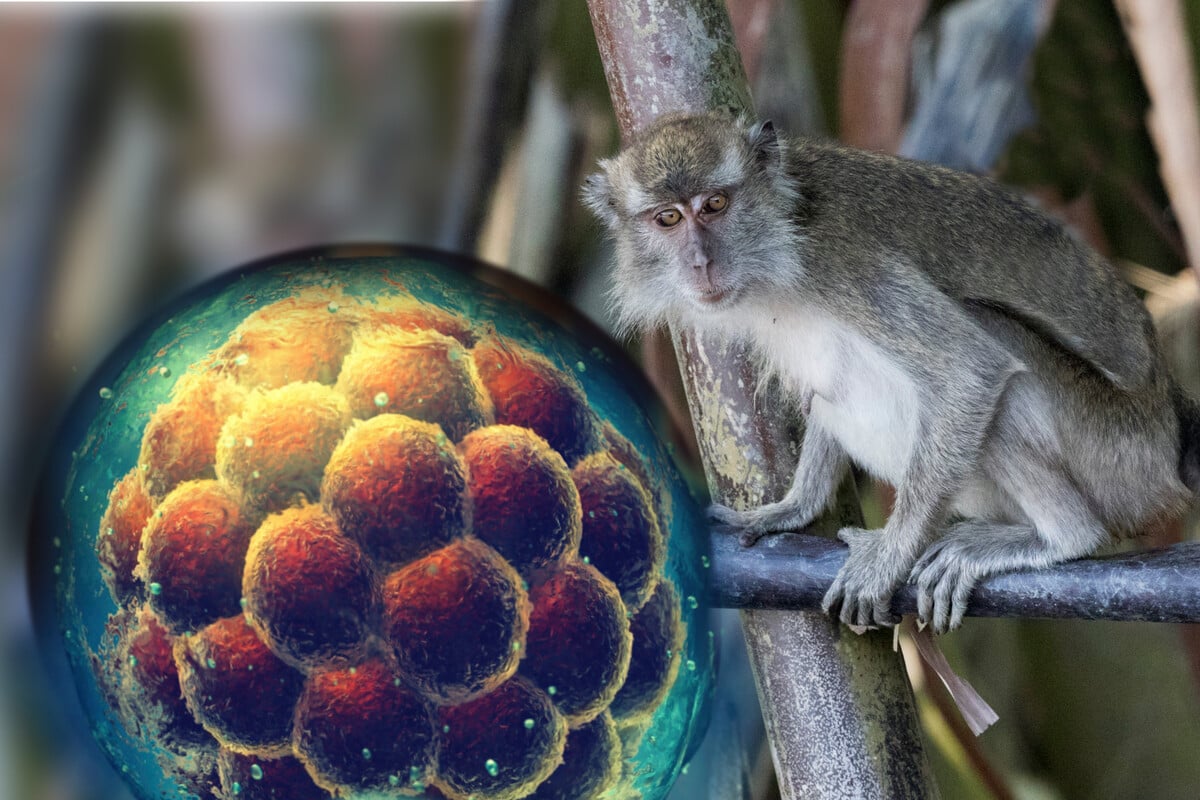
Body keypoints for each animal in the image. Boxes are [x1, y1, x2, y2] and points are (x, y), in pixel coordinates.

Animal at [581, 111, 1200, 633]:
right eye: (667, 218)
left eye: (714, 205)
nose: (699, 262)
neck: (784, 227)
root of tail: (1168, 431)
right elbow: (823, 389)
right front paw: (794, 508)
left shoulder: (844, 263)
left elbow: (969, 370)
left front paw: (891, 557)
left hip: (1116, 456)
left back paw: (1065, 537)